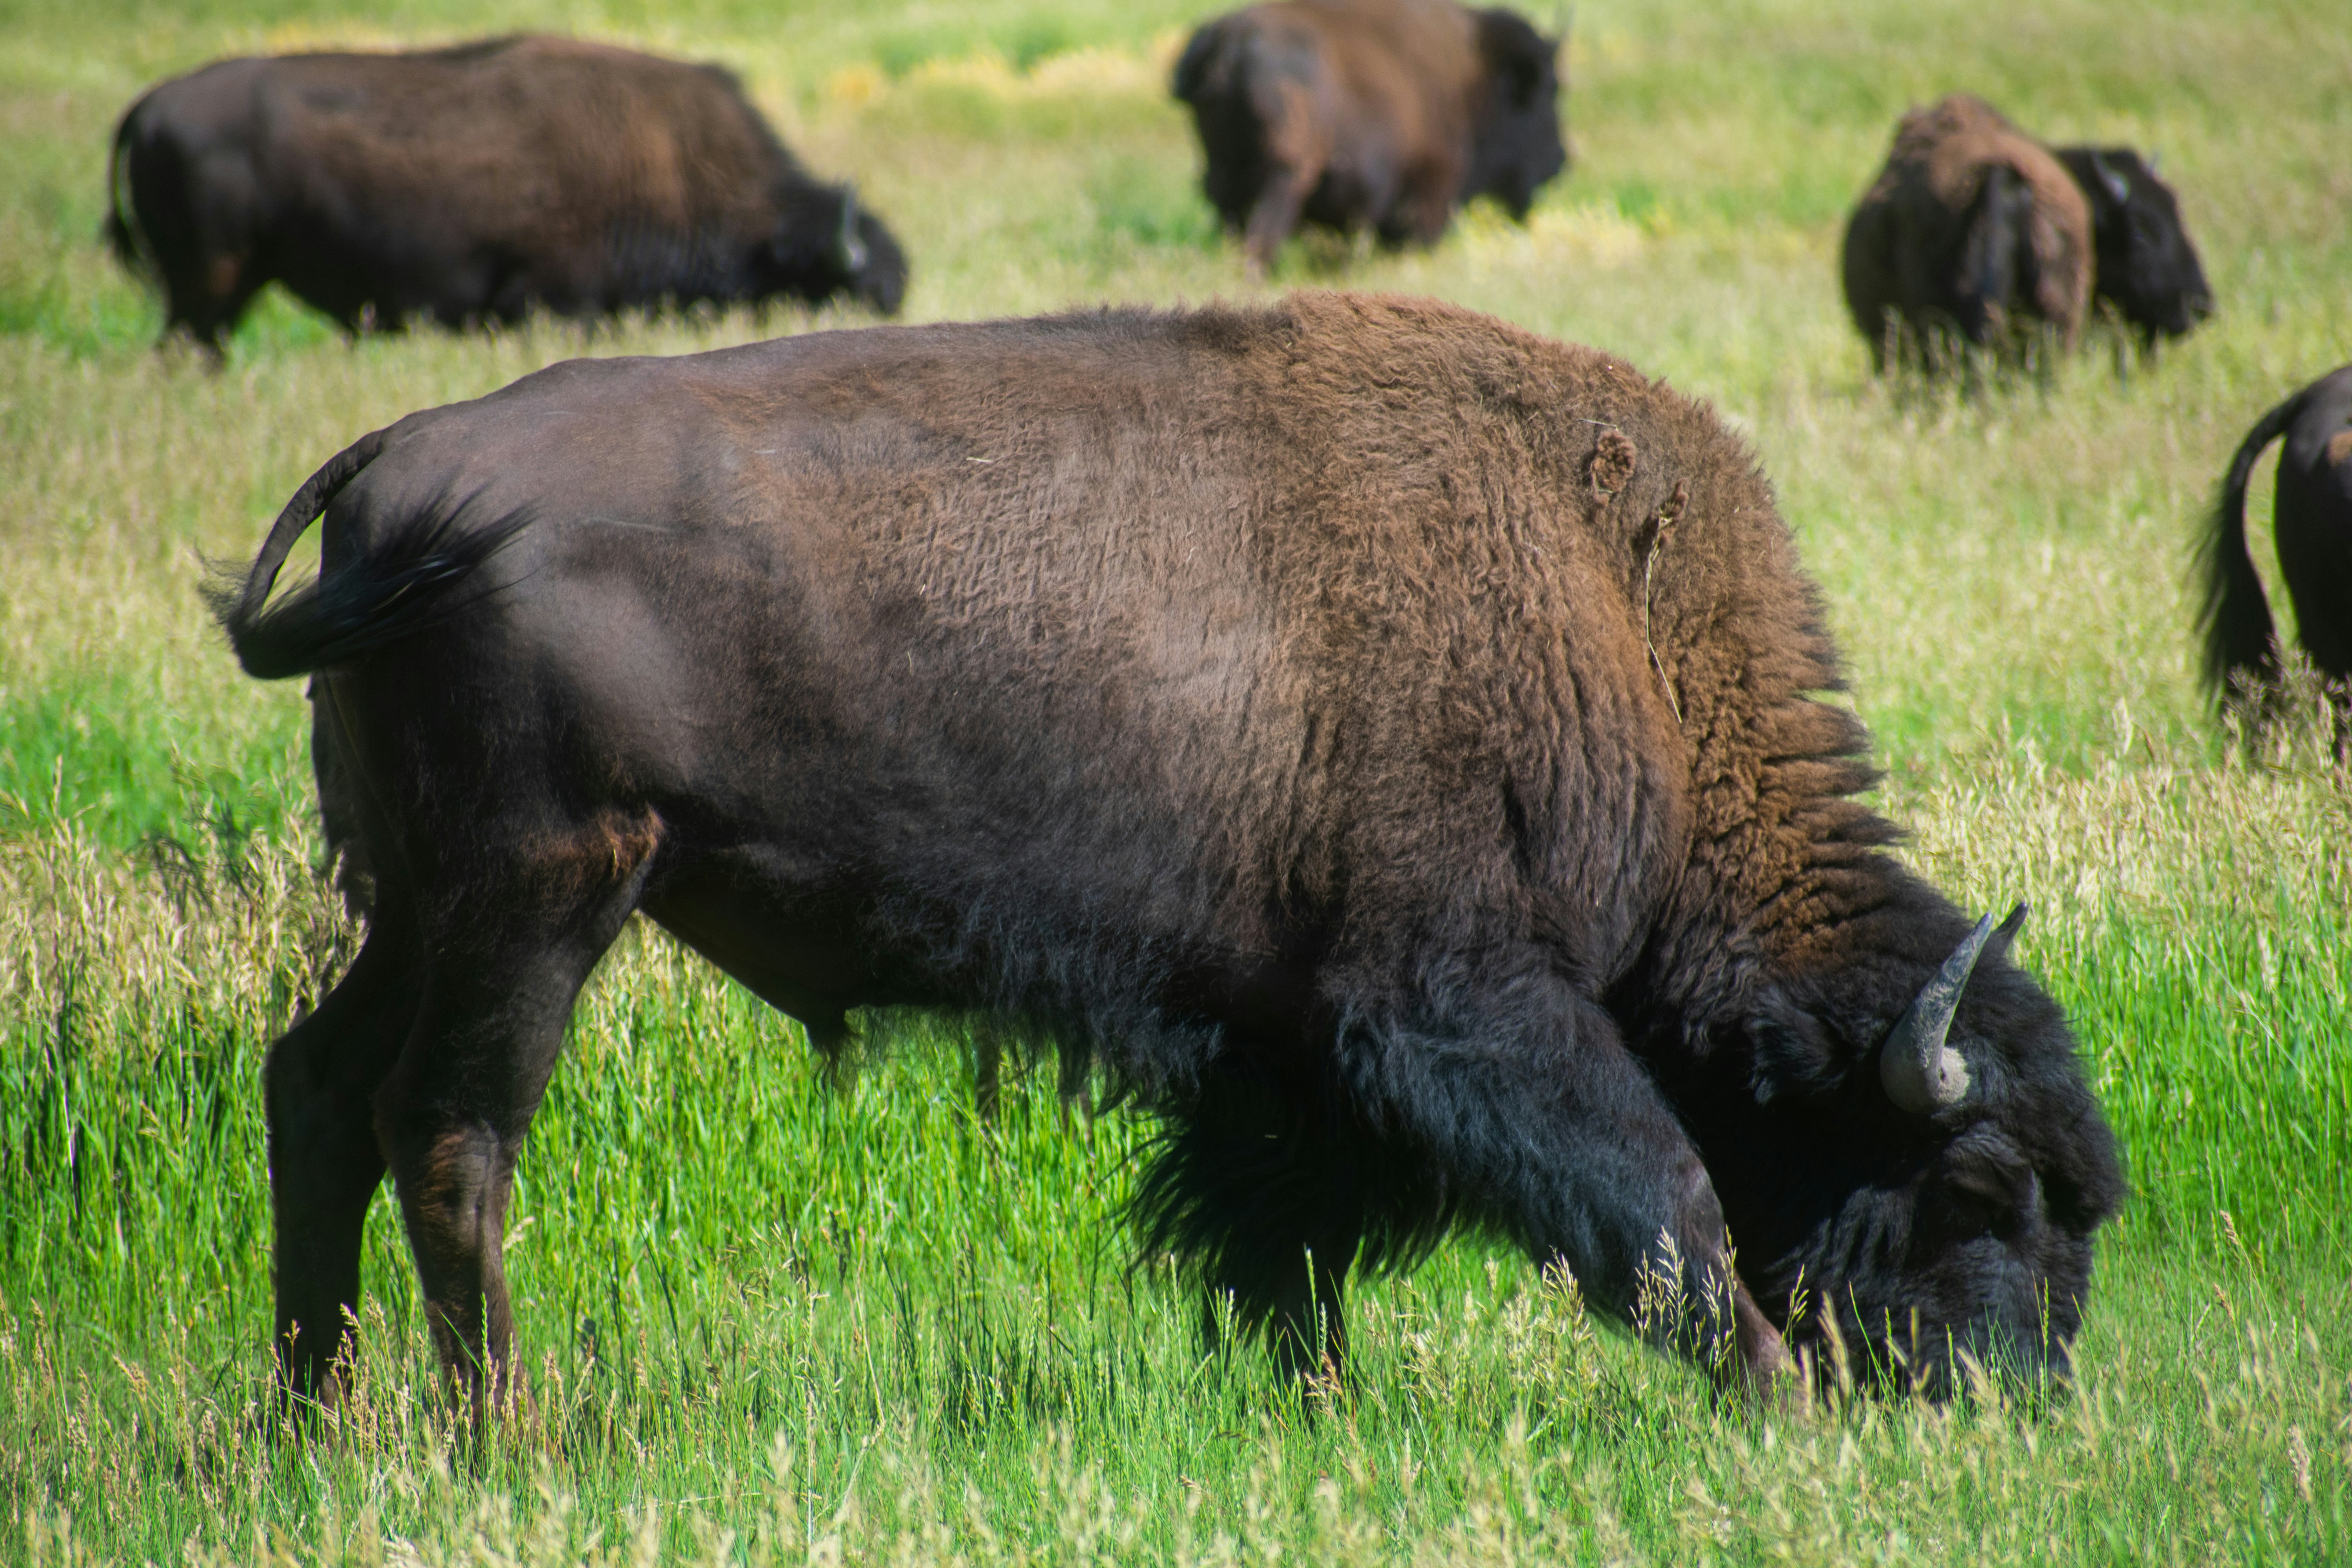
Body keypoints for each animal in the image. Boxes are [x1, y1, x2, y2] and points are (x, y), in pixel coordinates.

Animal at [217, 295, 2120, 1413]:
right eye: (1978, 1186)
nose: (2011, 1399)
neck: (1608, 601)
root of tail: (396, 463)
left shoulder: (1291, 1050)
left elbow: (1275, 1242)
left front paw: (1318, 1405)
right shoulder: (1465, 1006)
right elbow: (1661, 1203)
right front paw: (1769, 1395)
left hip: (422, 902)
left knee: (315, 1087)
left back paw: (317, 1416)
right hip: (541, 898)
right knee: (447, 1134)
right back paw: (500, 1436)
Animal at [1172, 0, 1568, 276]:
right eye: (1543, 94)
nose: (1559, 161)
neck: (1475, 76)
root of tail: (1232, 42)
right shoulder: (1435, 183)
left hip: (1223, 178)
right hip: (1286, 174)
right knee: (1264, 232)